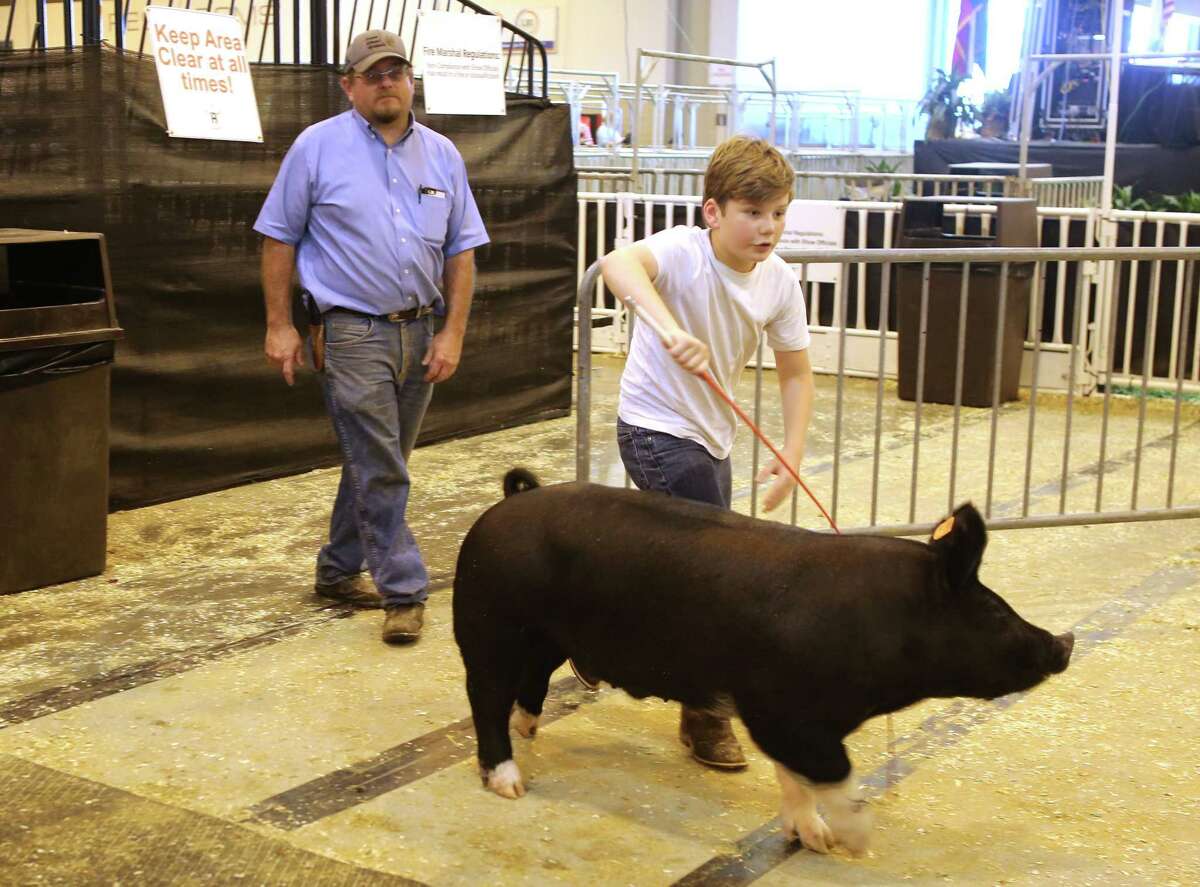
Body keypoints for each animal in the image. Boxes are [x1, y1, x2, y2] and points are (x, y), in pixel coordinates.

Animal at [452, 468, 1074, 854]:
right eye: (993, 612)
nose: (1063, 643)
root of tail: (505, 504)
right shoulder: (781, 712)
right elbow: (834, 774)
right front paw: (853, 841)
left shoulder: (793, 723)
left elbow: (796, 778)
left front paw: (812, 838)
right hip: (488, 629)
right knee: (485, 699)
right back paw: (510, 784)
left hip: (544, 637)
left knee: (530, 683)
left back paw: (530, 730)